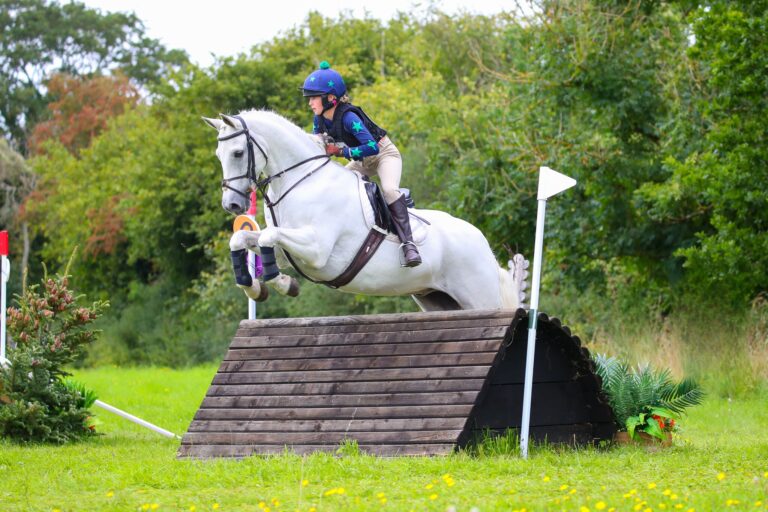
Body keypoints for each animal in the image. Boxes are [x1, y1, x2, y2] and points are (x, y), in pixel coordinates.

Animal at [203, 110, 527, 312]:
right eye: (218, 154)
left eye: (237, 153)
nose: (232, 205)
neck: (301, 179)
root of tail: (481, 241)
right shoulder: (288, 252)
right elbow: (244, 239)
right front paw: (255, 288)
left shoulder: (316, 250)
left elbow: (268, 236)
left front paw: (284, 285)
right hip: (436, 299)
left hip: (479, 296)